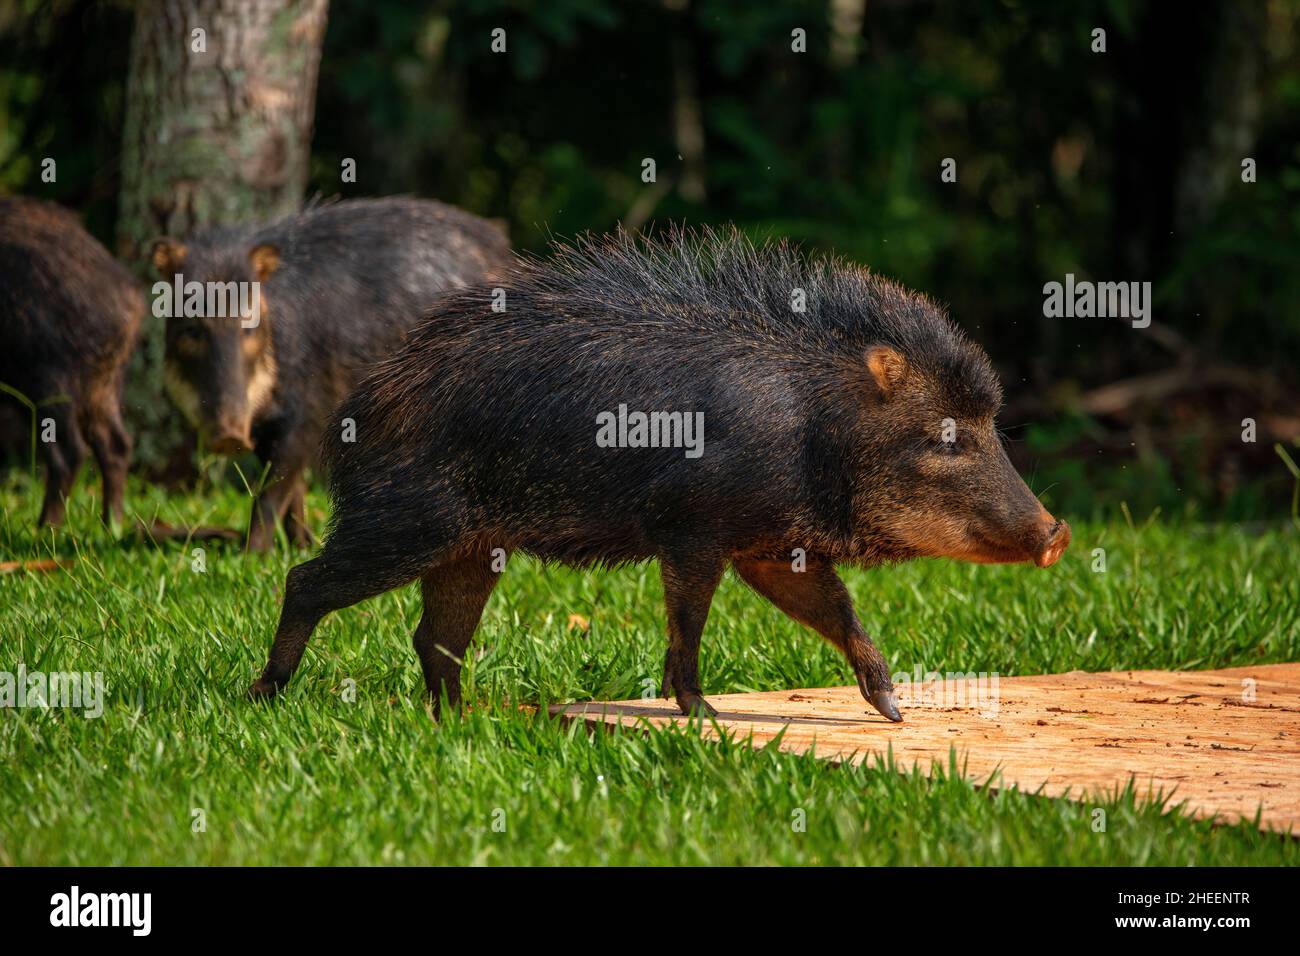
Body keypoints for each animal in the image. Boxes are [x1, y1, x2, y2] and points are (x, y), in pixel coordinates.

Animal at [0, 197, 143, 527]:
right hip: (102, 384)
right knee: (116, 443)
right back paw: (111, 525)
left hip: (47, 376)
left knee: (70, 452)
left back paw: (44, 529)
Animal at [150, 197, 511, 551]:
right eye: (192, 329)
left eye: (248, 327)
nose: (229, 436)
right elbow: (291, 490)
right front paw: (299, 546)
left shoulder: (305, 414)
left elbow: (271, 492)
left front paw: (253, 555)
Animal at [249, 227, 1070, 722]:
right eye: (946, 437)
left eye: (989, 425)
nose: (1057, 534)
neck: (816, 424)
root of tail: (363, 406)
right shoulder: (693, 528)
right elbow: (690, 620)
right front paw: (700, 714)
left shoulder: (773, 546)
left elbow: (834, 608)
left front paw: (892, 709)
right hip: (406, 520)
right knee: (305, 580)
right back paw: (265, 695)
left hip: (472, 546)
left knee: (433, 636)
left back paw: (461, 719)